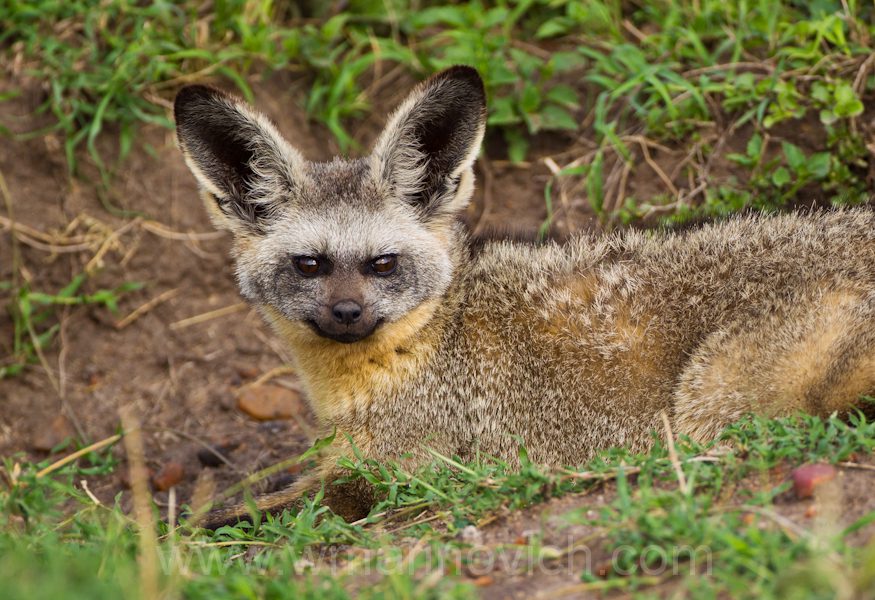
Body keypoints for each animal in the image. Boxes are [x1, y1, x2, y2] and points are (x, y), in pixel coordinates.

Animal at [173, 65, 875, 528]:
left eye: (383, 263)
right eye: (310, 264)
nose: (347, 313)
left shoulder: (410, 467)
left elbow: (277, 505)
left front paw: (179, 532)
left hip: (712, 392)